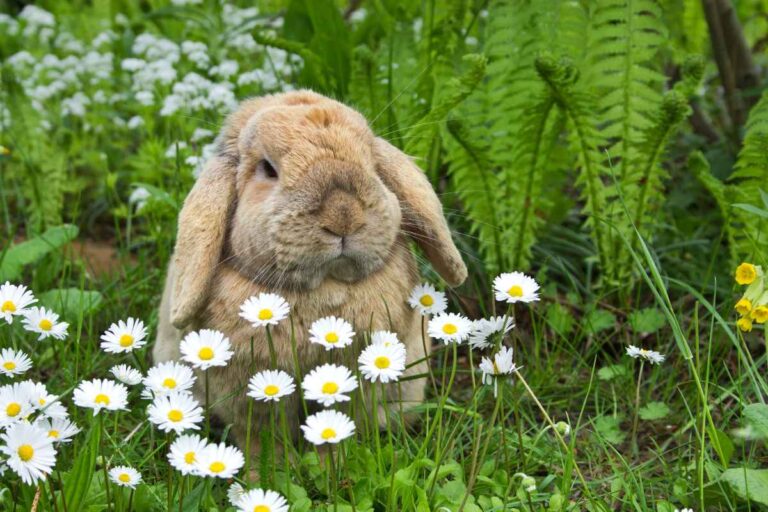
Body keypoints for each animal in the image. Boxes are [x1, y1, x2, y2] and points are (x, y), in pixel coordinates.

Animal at [152, 89, 467, 450]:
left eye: (371, 162)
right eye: (268, 169)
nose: (343, 215)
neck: (325, 289)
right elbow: (264, 438)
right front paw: (265, 466)